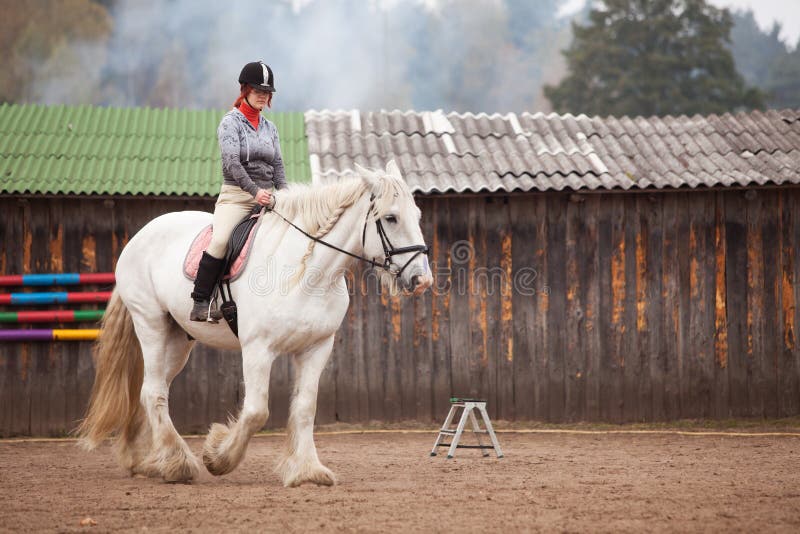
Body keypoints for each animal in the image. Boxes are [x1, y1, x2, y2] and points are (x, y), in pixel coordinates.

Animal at [76, 160, 433, 486]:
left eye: (416, 216)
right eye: (391, 218)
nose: (422, 280)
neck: (306, 273)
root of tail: (140, 236)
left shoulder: (316, 349)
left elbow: (305, 408)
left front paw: (308, 471)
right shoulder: (258, 349)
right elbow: (257, 411)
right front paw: (218, 457)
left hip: (177, 341)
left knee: (153, 390)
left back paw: (149, 462)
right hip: (151, 325)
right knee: (152, 392)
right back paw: (178, 465)